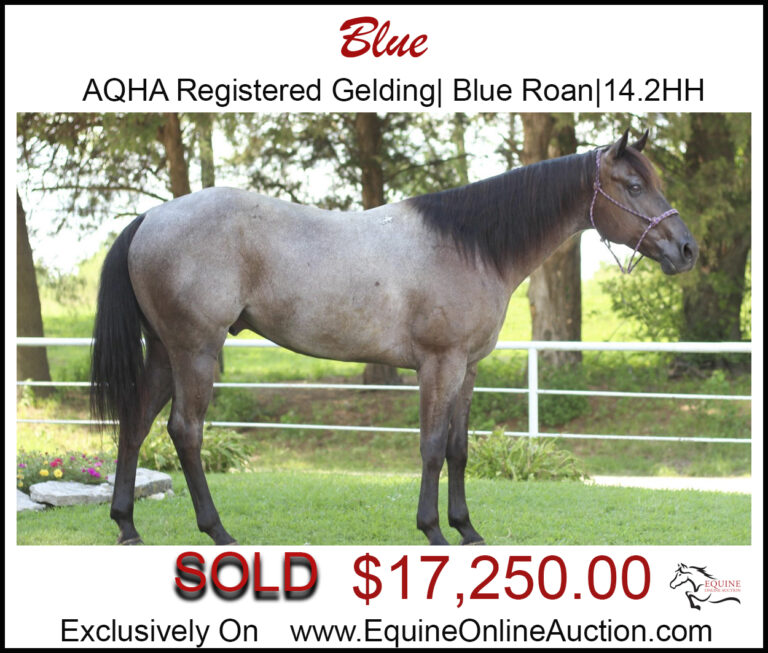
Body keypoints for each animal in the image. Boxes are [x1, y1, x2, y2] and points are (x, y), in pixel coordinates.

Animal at [90, 129, 698, 545]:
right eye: (634, 186)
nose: (687, 249)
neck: (472, 245)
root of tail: (150, 218)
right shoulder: (438, 364)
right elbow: (431, 447)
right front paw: (433, 530)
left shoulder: (467, 368)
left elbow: (458, 448)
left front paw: (467, 529)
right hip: (196, 351)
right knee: (184, 431)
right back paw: (217, 531)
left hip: (164, 352)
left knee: (135, 424)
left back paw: (127, 525)